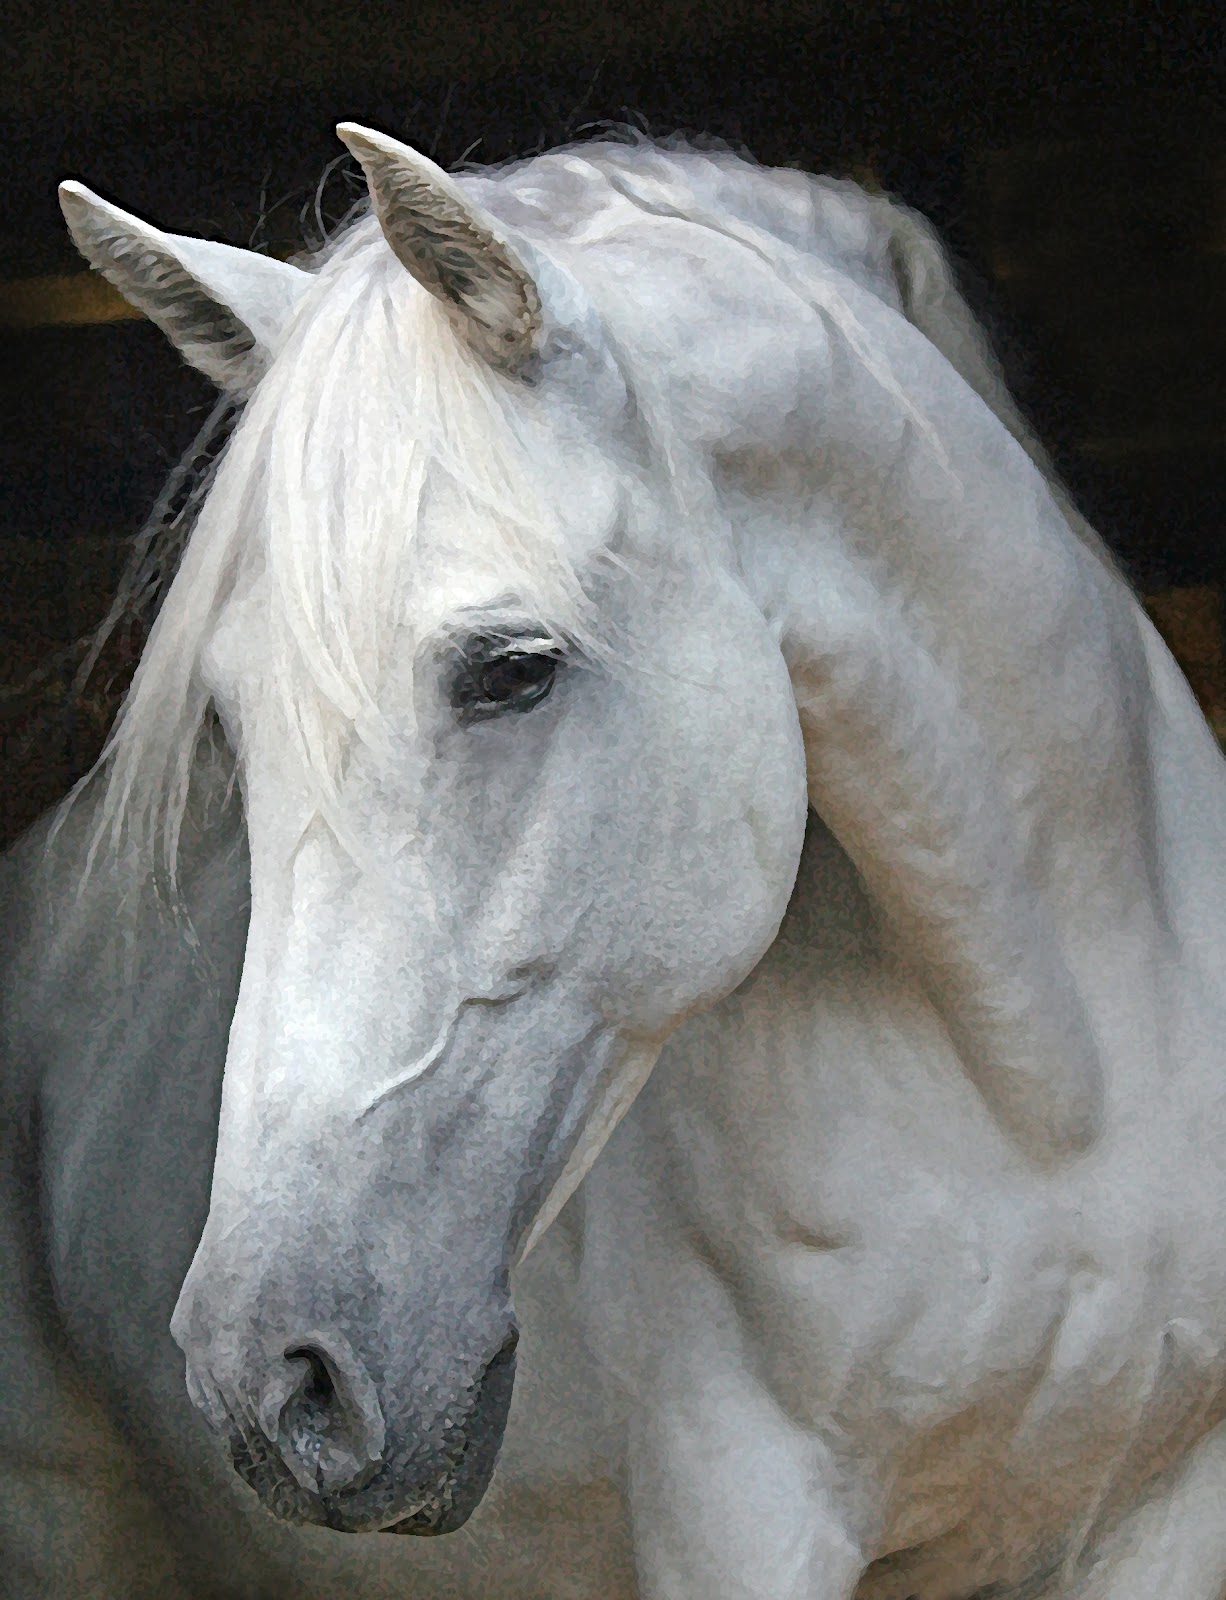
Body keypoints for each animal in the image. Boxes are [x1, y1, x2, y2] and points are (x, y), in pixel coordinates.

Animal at [4, 121, 1226, 1600]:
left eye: (511, 669)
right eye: (232, 720)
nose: (272, 1381)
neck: (1048, 1102)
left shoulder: (1167, 1505)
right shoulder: (743, 1513)